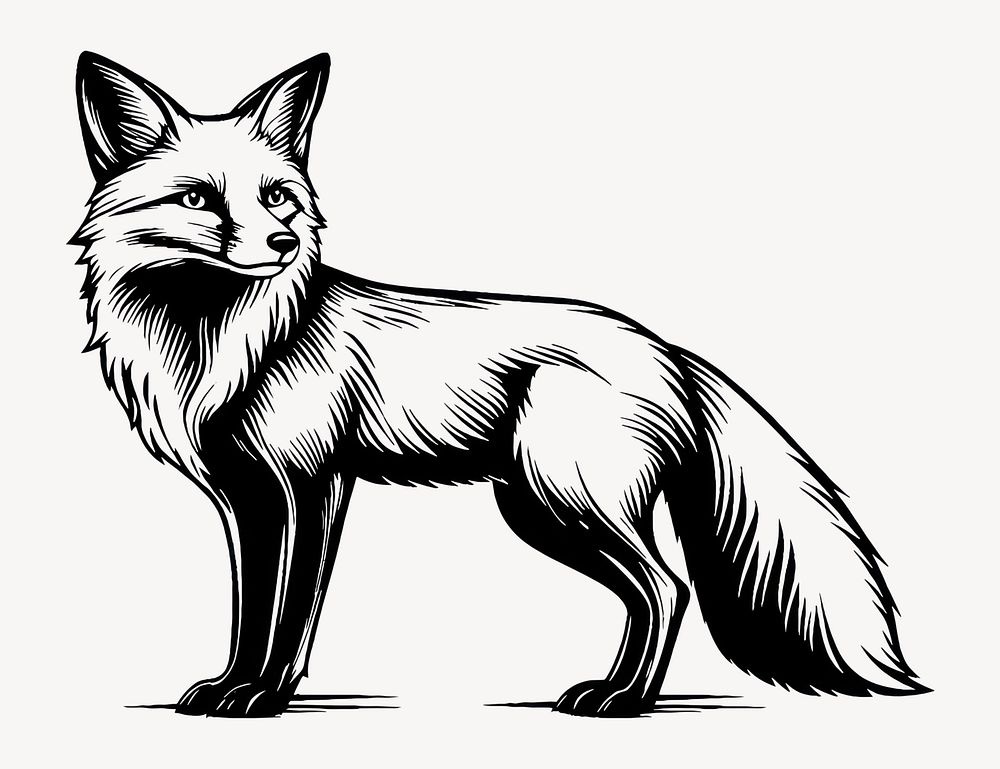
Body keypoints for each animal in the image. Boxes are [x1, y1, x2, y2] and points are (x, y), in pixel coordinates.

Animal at [72, 51, 927, 718]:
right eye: (197, 198)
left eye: (277, 195)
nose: (283, 242)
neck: (223, 344)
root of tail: (661, 344)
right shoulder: (246, 500)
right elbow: (251, 610)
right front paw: (232, 683)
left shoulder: (311, 487)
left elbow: (288, 614)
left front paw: (265, 694)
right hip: (540, 510)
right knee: (655, 590)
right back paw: (618, 689)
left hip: (565, 498)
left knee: (669, 587)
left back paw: (624, 699)